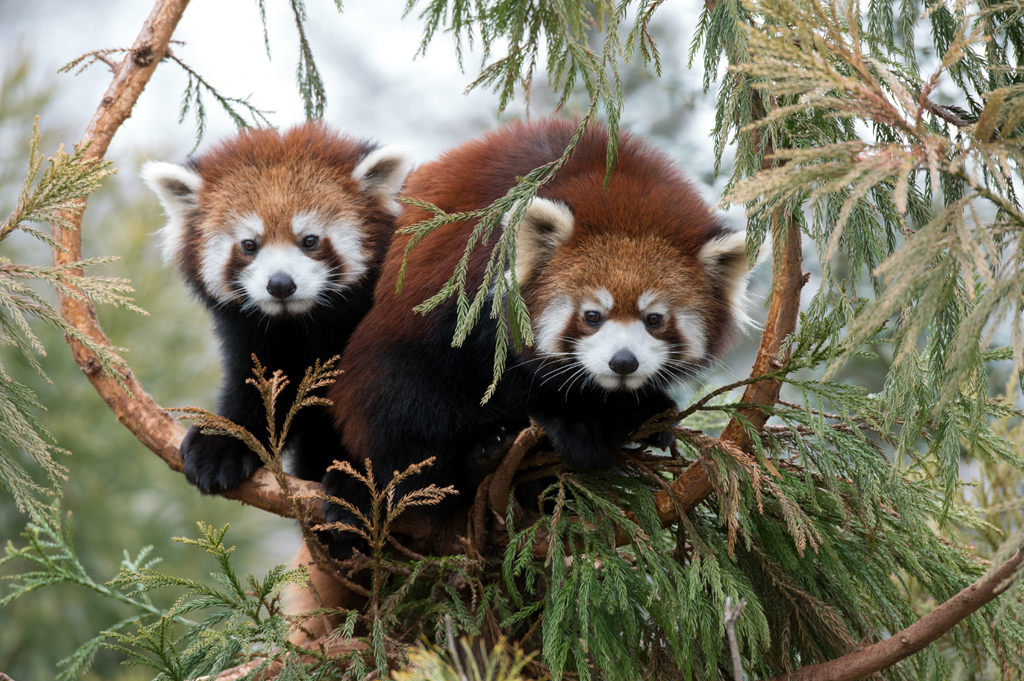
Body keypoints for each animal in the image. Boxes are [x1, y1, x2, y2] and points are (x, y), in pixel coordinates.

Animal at [143, 121, 411, 493]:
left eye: (310, 240)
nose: (280, 284)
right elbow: (259, 383)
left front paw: (359, 476)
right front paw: (226, 441)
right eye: (249, 245)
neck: (301, 322)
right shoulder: (253, 332)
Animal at [319, 117, 762, 541]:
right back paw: (474, 456)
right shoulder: (472, 285)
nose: (623, 363)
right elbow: (500, 375)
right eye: (592, 316)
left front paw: (649, 410)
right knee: (398, 400)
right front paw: (575, 423)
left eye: (654, 319)